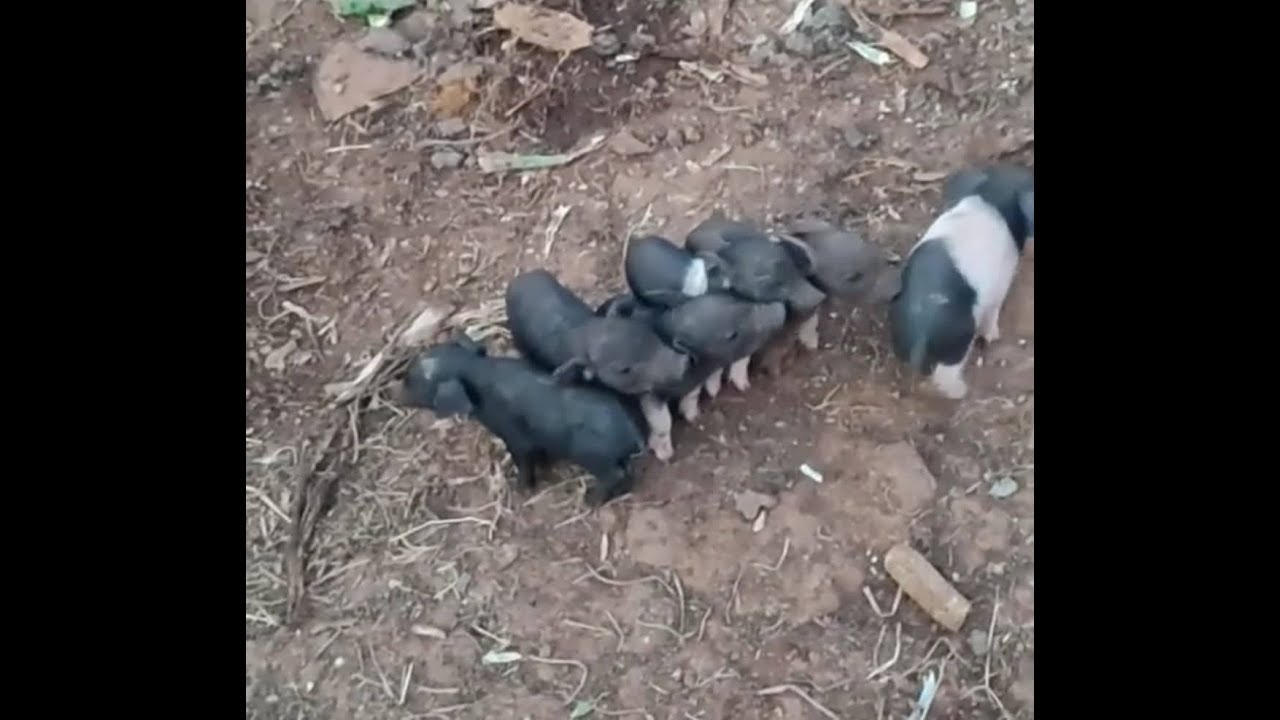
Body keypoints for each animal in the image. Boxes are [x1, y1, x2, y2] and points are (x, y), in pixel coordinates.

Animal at [398, 334, 646, 506]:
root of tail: (633, 433)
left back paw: (590, 500)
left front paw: (520, 490)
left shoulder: (516, 439)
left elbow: (524, 463)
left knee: (614, 474)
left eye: (414, 381)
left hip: (593, 456)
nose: (396, 393)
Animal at [888, 163, 1034, 399]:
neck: (992, 198)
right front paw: (993, 337)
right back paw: (963, 392)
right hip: (957, 347)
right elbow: (993, 315)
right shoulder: (1000, 284)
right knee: (947, 378)